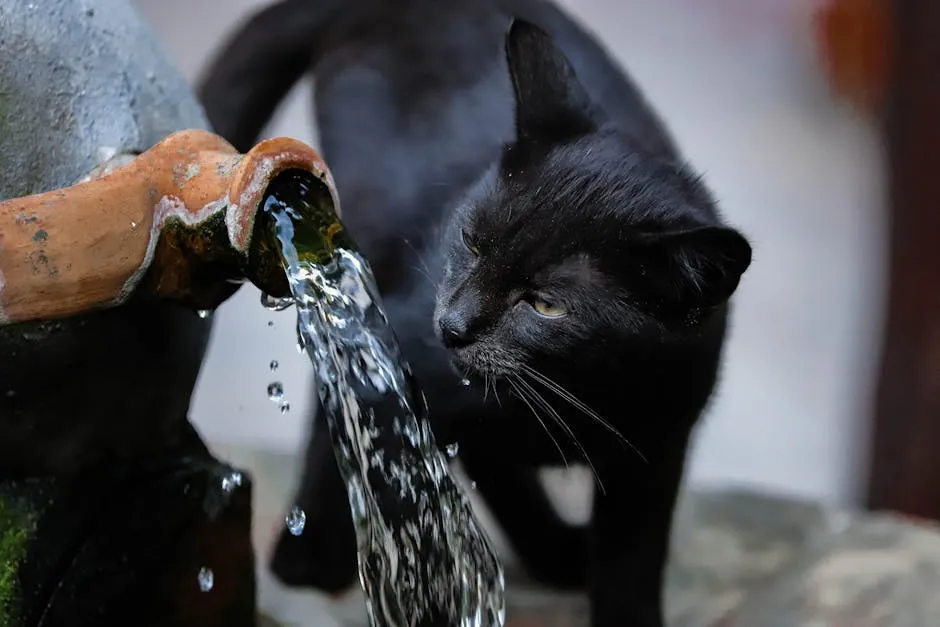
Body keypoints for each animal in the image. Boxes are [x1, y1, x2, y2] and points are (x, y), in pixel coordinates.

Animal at [196, 2, 748, 624]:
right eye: (473, 241)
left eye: (546, 304)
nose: (453, 325)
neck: (575, 394)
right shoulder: (398, 357)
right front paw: (315, 566)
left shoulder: (657, 450)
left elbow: (631, 566)